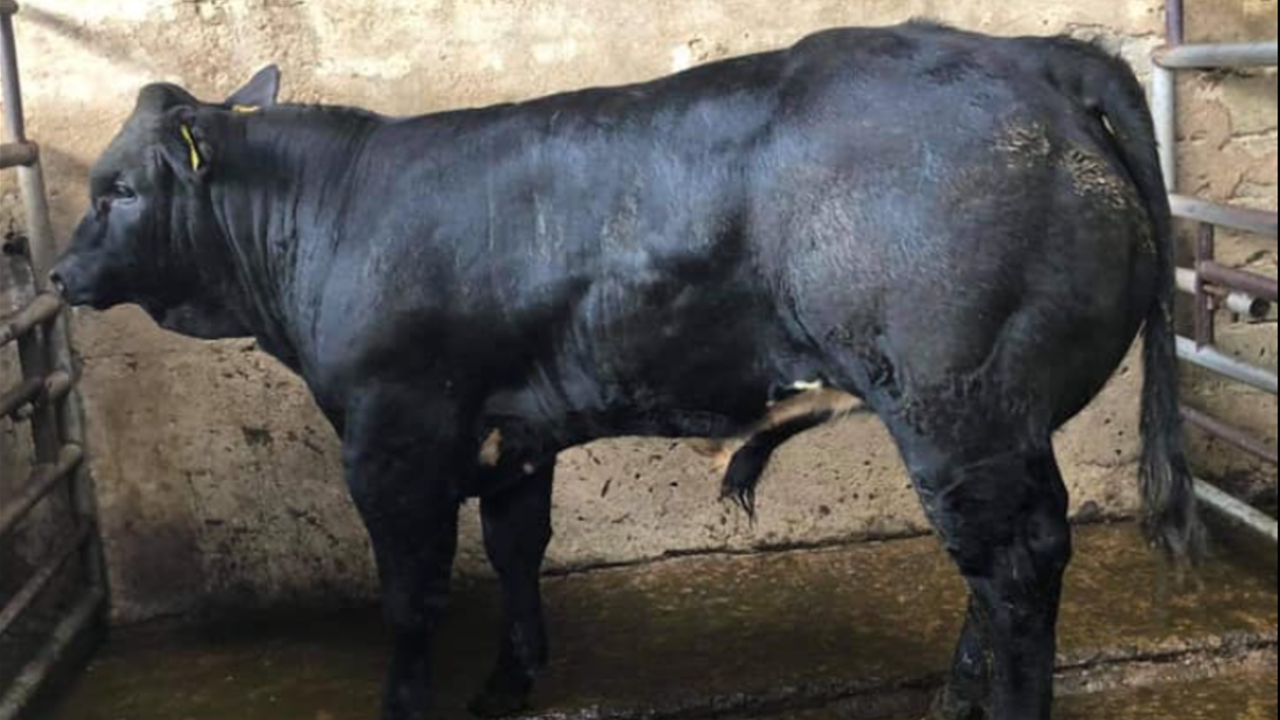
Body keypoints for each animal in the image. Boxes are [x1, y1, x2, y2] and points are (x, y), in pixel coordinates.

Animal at [51, 21, 1202, 720]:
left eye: (119, 188)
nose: (58, 273)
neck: (325, 217)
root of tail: (1027, 54)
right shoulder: (514, 431)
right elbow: (516, 552)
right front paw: (507, 683)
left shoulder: (391, 439)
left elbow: (413, 594)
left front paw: (407, 700)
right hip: (985, 427)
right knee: (991, 568)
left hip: (958, 408)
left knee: (1013, 565)